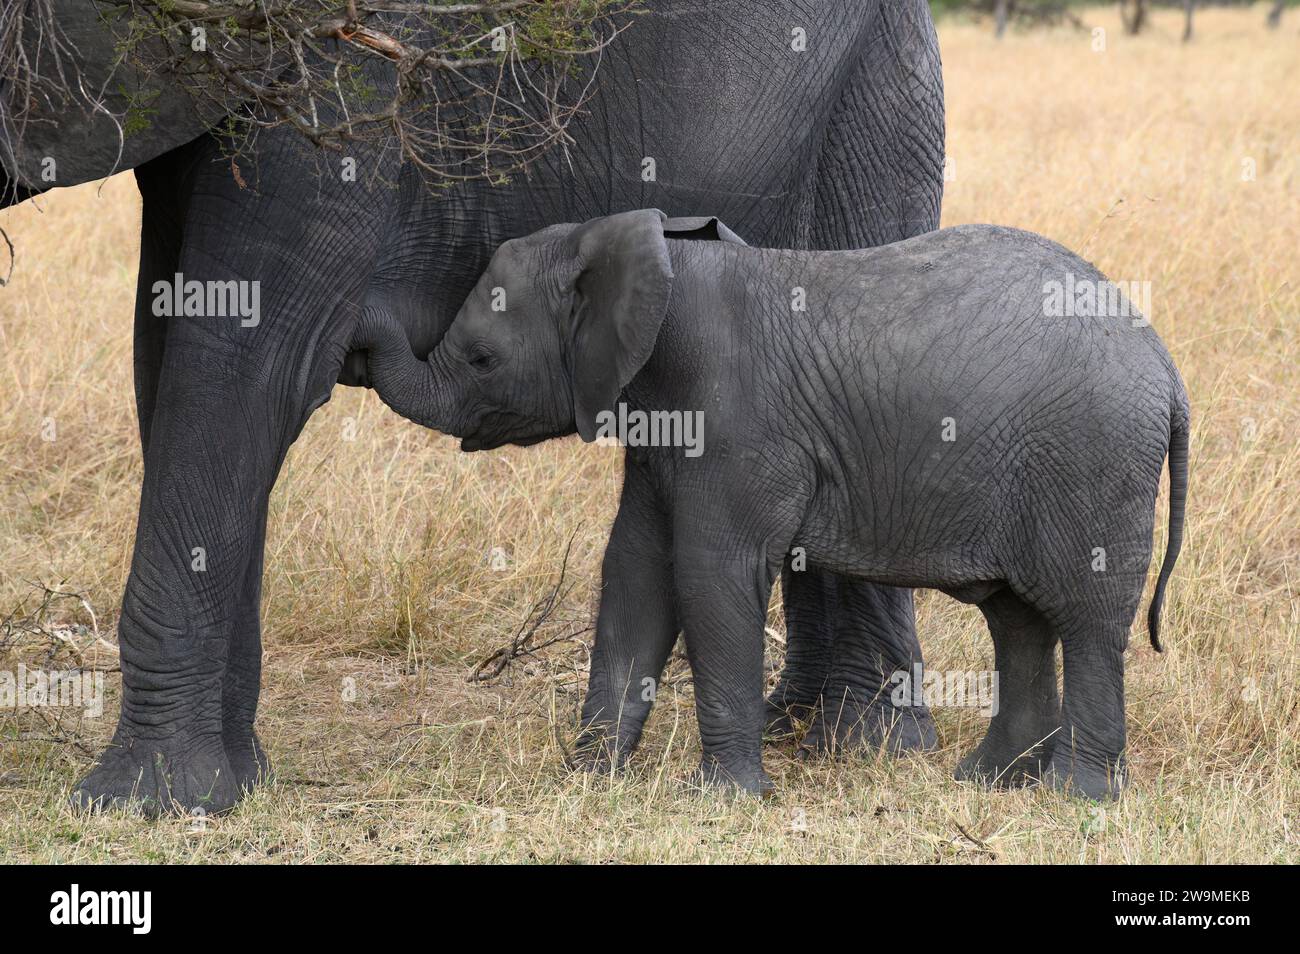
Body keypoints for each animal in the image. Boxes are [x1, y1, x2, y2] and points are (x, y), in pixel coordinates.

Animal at [2, 0, 945, 814]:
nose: (370, 330)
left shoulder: (339, 60)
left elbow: (250, 359)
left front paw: (150, 802)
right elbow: (166, 354)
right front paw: (237, 781)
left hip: (873, 104)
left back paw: (863, 743)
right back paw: (799, 726)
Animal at [350, 209, 1191, 799]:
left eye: (483, 359)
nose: (356, 335)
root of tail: (1168, 371)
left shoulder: (734, 419)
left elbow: (710, 573)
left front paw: (719, 799)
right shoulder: (663, 430)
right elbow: (635, 573)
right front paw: (588, 778)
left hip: (1093, 462)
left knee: (1086, 621)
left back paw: (1074, 797)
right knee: (1017, 618)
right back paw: (989, 782)